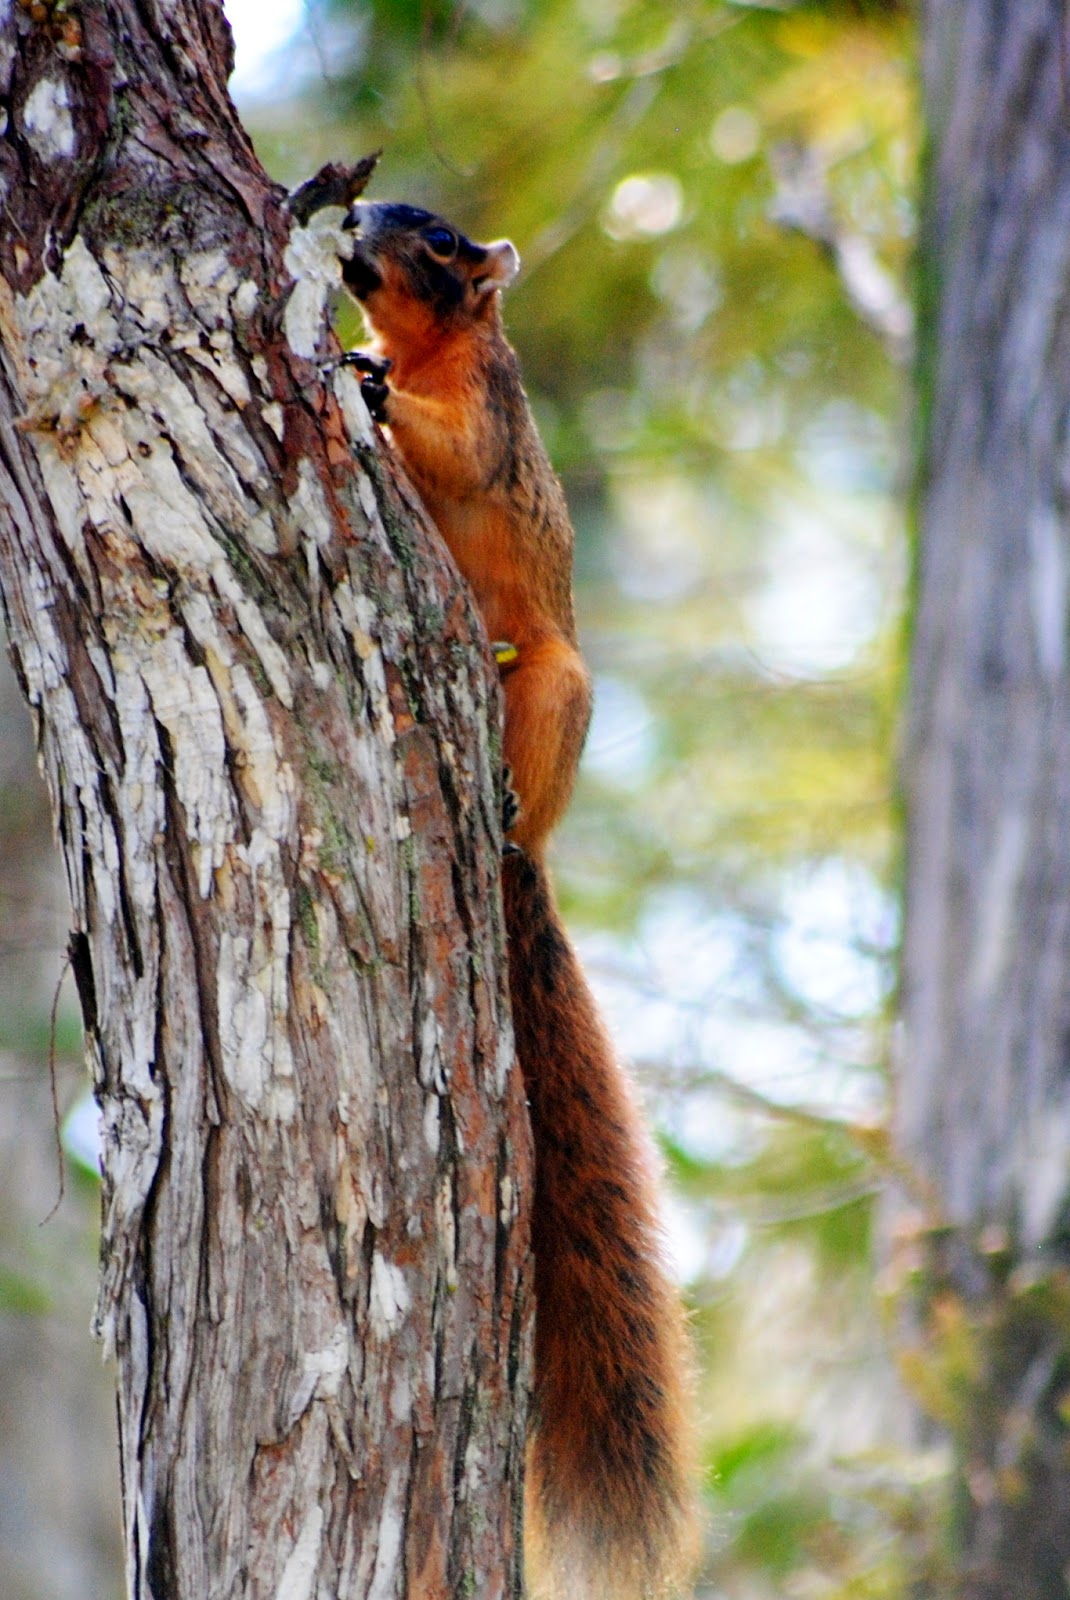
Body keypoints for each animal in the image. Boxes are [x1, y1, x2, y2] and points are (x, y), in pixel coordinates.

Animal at [339, 200, 696, 1600]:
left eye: (436, 239)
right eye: (370, 212)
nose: (343, 225)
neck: (438, 346)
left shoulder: (488, 417)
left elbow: (448, 452)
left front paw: (364, 385)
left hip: (551, 681)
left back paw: (500, 799)